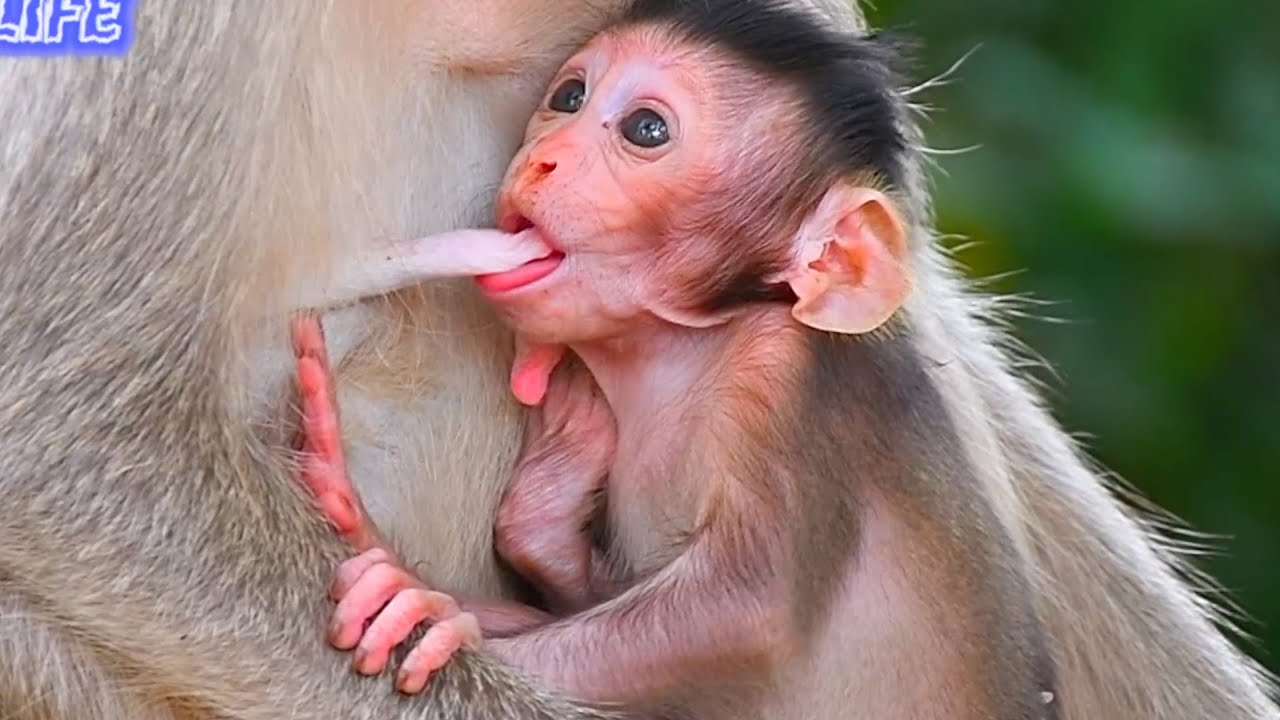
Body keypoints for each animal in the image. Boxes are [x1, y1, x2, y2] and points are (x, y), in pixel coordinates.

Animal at [1, 1, 1277, 720]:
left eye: (644, 130)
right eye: (567, 98)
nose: (545, 160)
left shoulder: (771, 393)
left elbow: (741, 599)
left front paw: (428, 614)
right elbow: (57, 423)